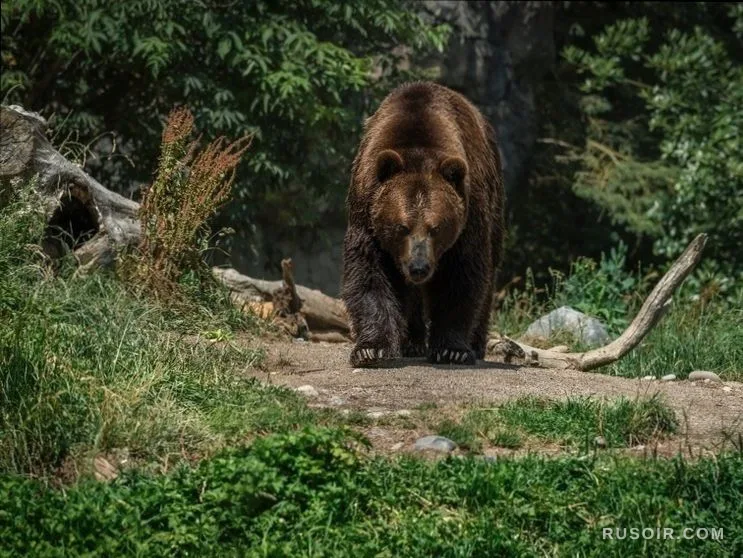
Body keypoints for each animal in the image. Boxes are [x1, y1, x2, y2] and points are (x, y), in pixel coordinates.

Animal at [340, 81, 506, 368]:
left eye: (436, 227)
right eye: (402, 226)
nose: (419, 267)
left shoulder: (469, 213)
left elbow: (461, 275)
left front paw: (452, 350)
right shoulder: (366, 208)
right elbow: (369, 272)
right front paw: (371, 349)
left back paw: (474, 345)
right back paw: (412, 342)